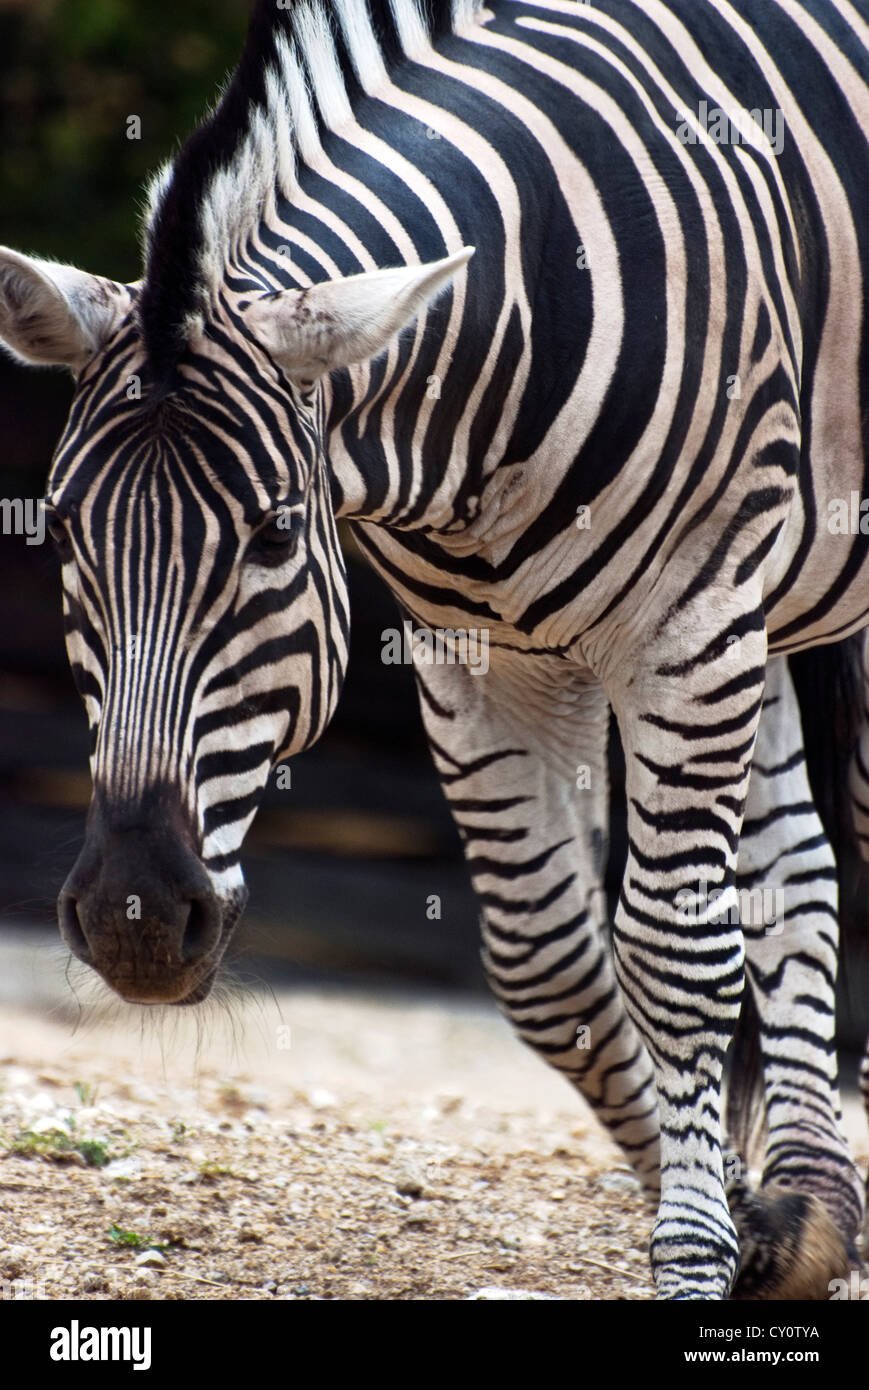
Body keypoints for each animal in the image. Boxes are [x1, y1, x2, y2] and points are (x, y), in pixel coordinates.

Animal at [0, 0, 867, 1301]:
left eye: (273, 533)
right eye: (58, 532)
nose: (133, 922)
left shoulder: (682, 623)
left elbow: (671, 951)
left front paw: (689, 1251)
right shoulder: (482, 661)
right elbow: (548, 961)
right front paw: (716, 1197)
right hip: (757, 609)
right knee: (792, 865)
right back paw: (809, 1207)